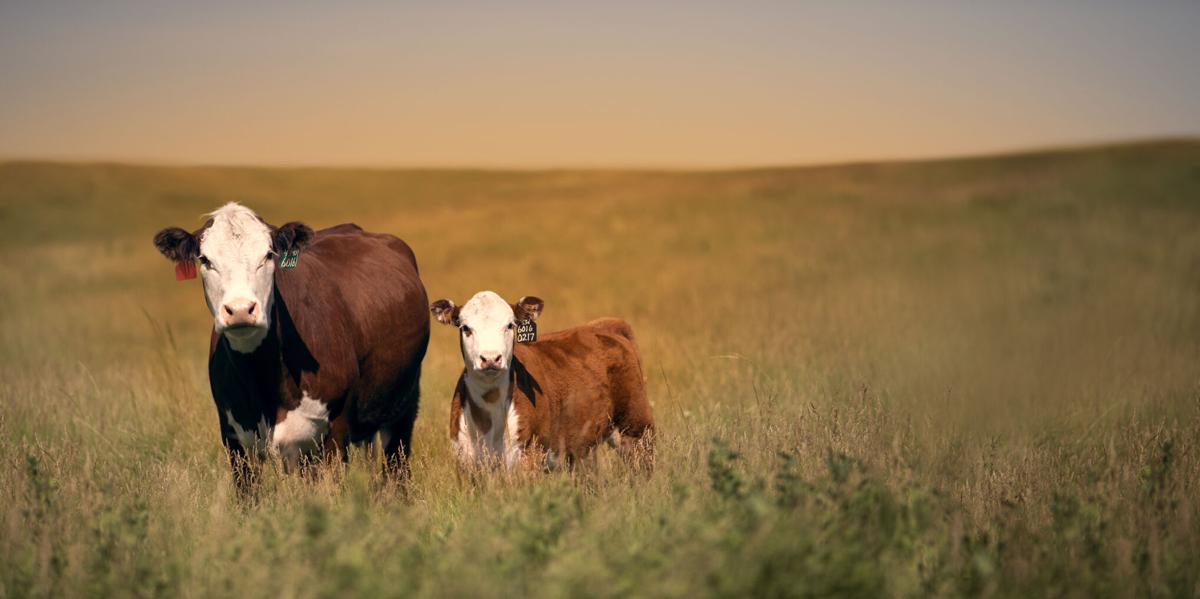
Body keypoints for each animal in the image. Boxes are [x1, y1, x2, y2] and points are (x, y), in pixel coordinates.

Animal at [153, 202, 429, 489]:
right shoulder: (234, 438)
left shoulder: (335, 429)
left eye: (268, 255)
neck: (264, 380)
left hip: (403, 406)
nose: (240, 310)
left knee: (397, 468)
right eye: (205, 259)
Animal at [429, 291, 654, 472]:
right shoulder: (465, 459)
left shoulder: (528, 453)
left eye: (510, 325)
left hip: (636, 427)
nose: (491, 358)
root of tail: (607, 325)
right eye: (465, 327)